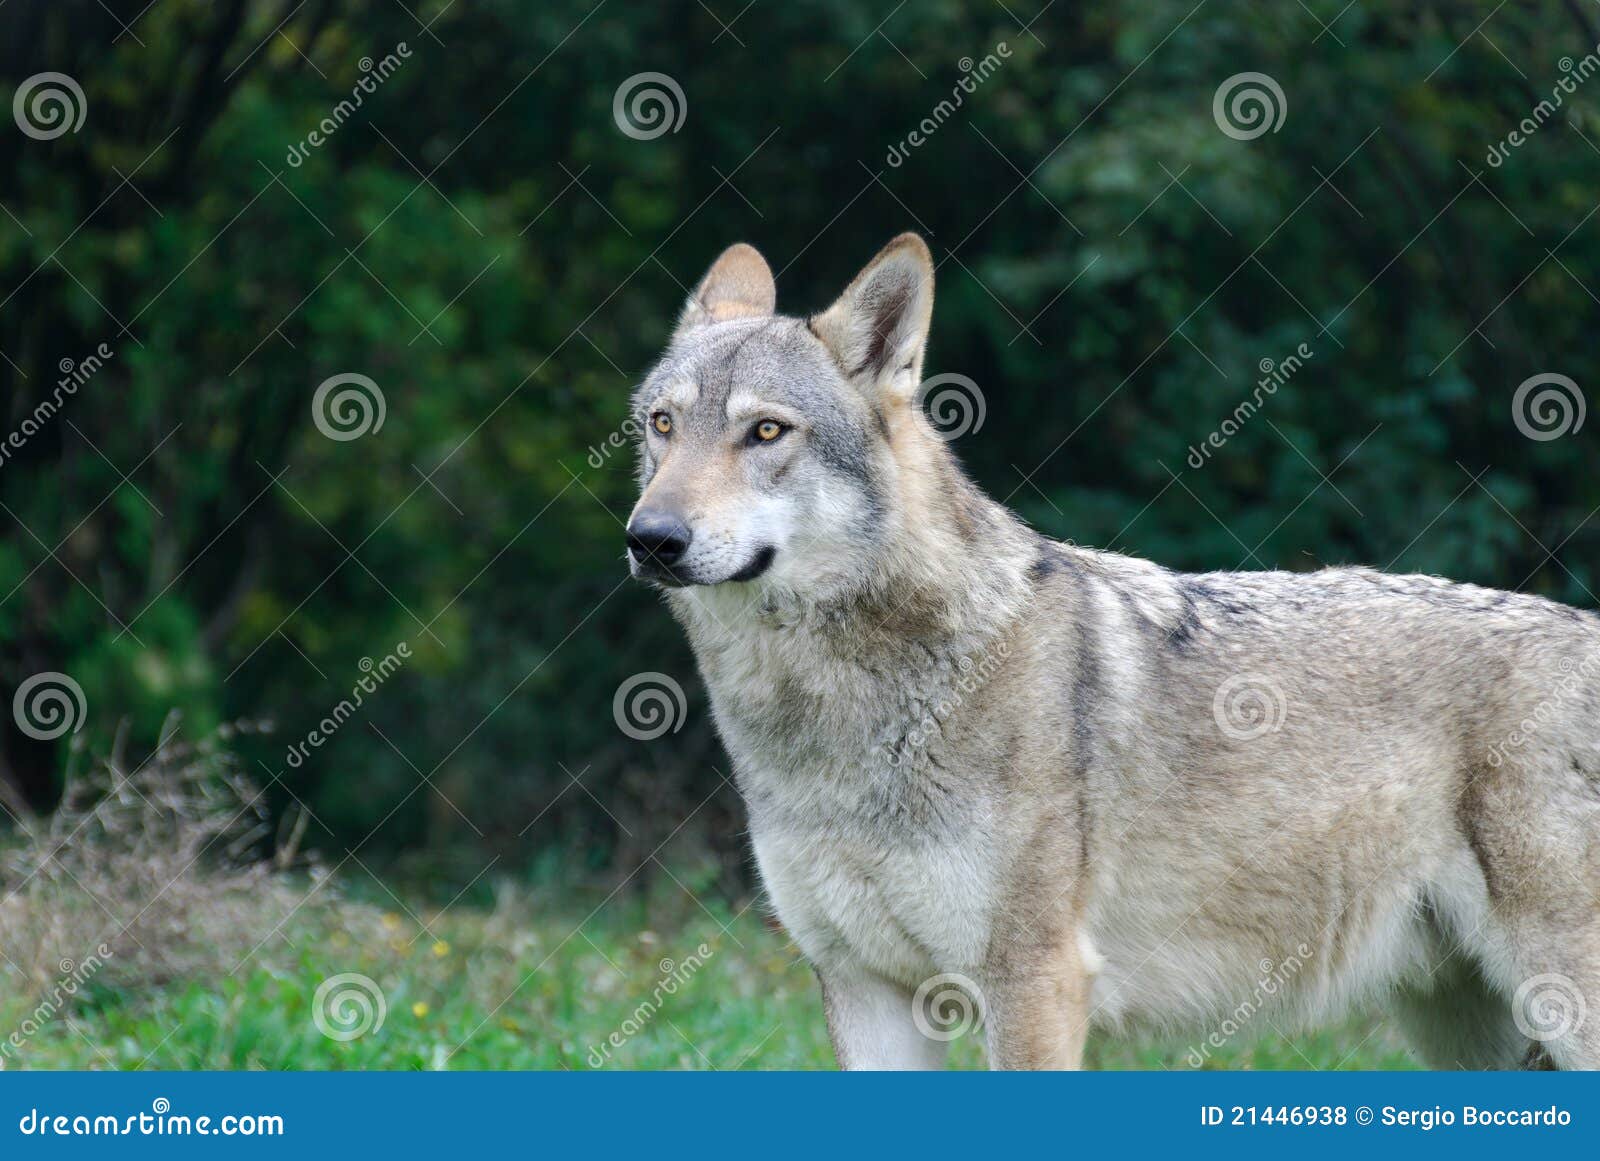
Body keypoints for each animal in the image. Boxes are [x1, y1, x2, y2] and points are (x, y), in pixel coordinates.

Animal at [624, 233, 1600, 1069]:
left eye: (766, 432)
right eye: (662, 426)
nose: (651, 538)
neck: (830, 714)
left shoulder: (1034, 981)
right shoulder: (865, 988)